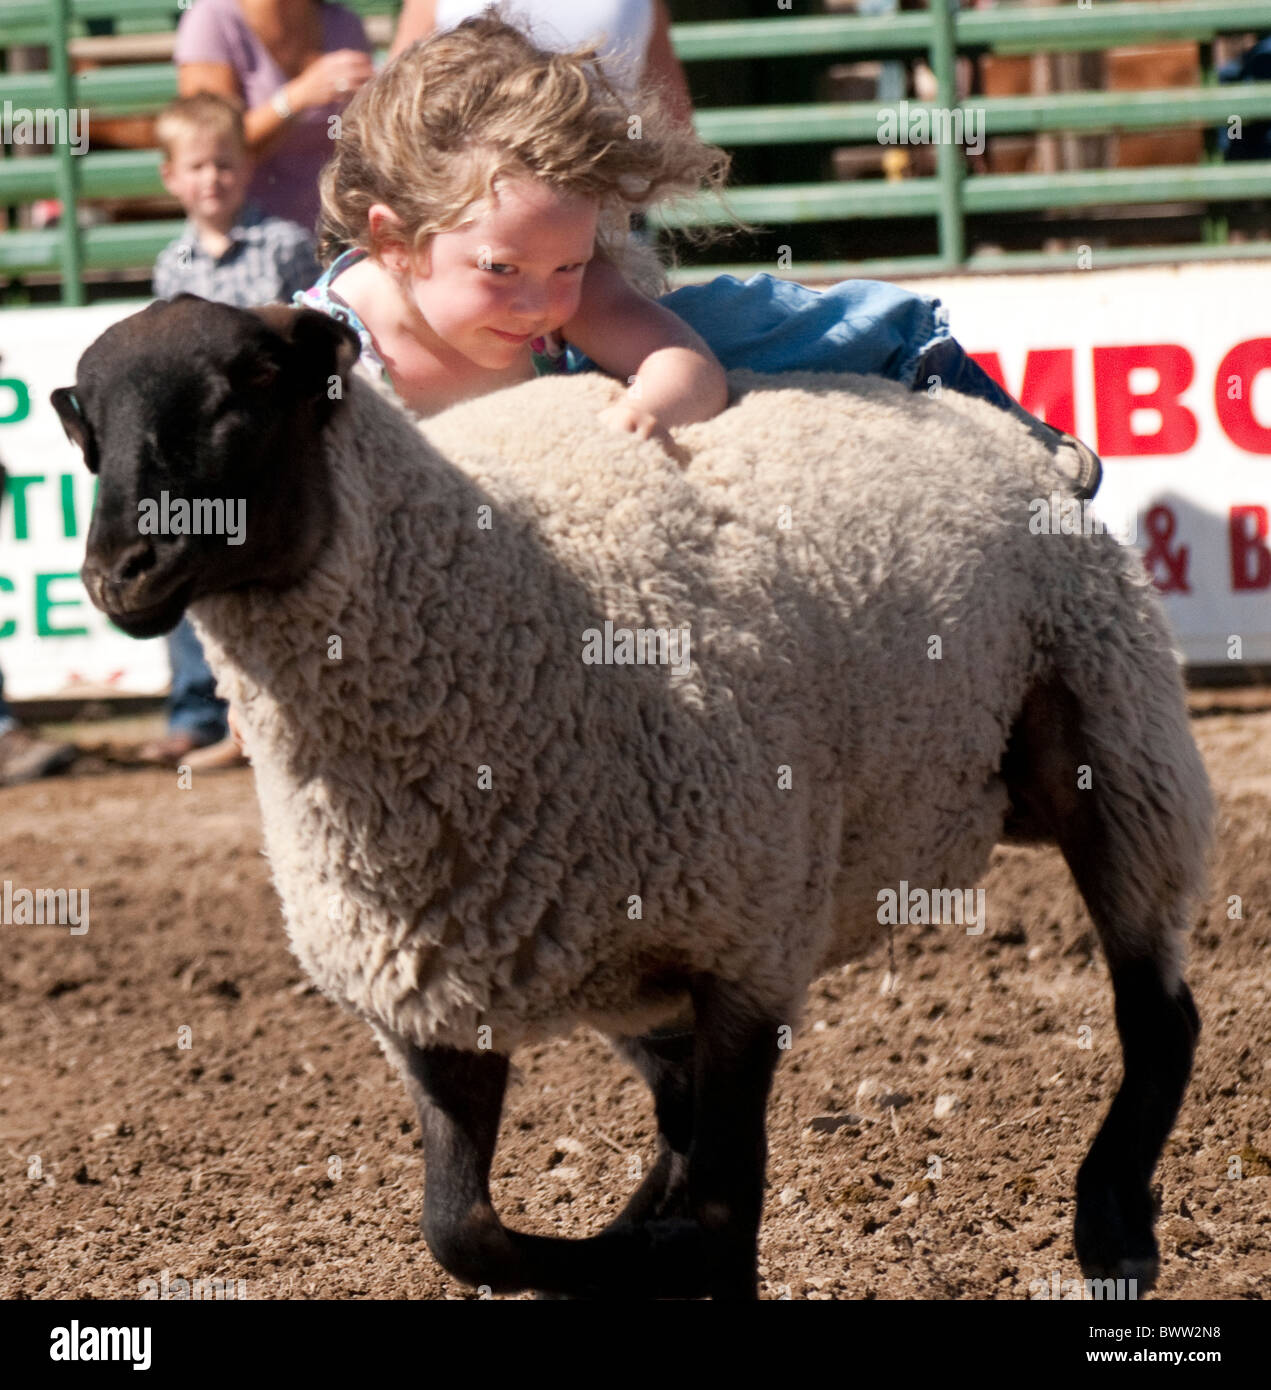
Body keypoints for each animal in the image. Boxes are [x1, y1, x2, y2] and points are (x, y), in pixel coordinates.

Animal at [54, 295, 1212, 1301]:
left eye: (251, 381)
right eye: (87, 423)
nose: (121, 573)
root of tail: (990, 426)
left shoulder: (746, 951)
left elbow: (724, 1209)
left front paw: (669, 1253)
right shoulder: (426, 1006)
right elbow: (462, 1230)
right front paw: (627, 1251)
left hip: (1114, 742)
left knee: (1156, 1008)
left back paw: (1112, 1223)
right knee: (670, 1121)